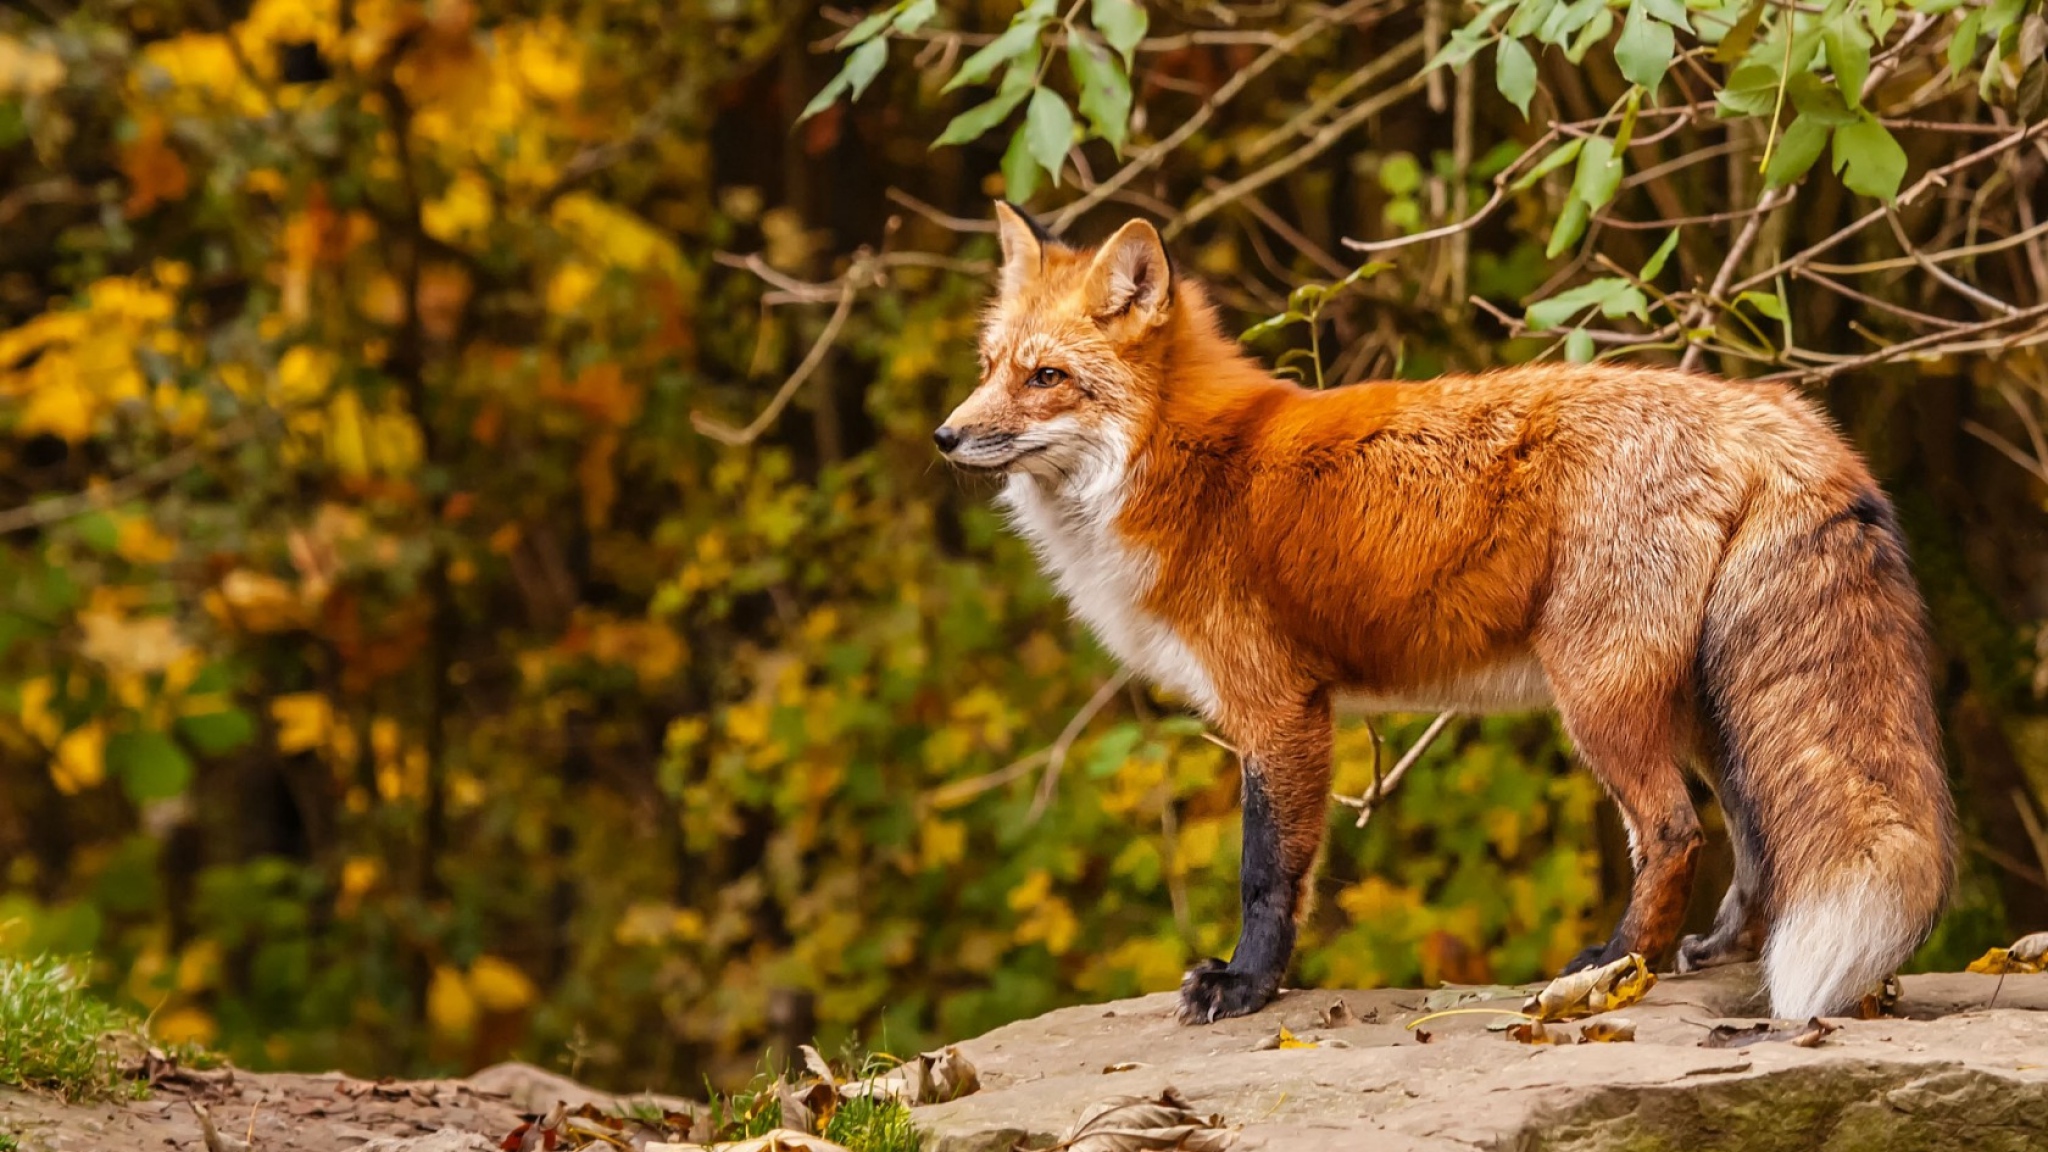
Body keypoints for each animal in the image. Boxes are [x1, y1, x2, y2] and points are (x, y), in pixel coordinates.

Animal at [934, 202, 1958, 1025]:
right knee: (1753, 839)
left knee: (1675, 833)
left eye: (1046, 377)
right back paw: (1708, 953)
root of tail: (1769, 409)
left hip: (1599, 694)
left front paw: (1246, 985)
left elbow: (1269, 872)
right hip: (1708, 703)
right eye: (987, 366)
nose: (945, 435)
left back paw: (1615, 967)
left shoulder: (1279, 707)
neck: (1179, 463)